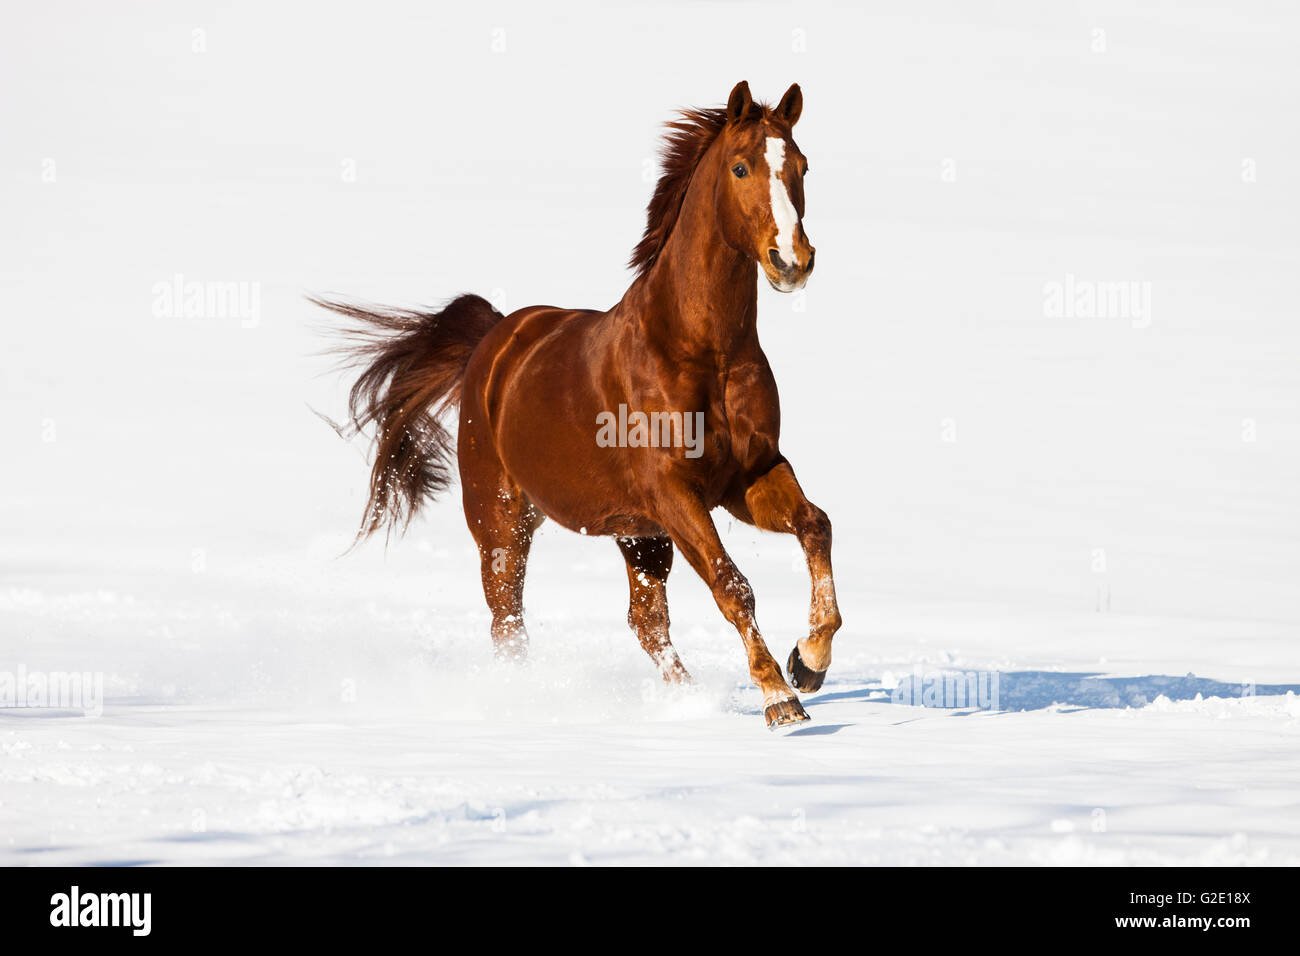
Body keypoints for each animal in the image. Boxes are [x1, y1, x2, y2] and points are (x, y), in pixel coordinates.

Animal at [312, 81, 842, 728]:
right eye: (741, 167)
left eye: (802, 166)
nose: (792, 260)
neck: (701, 350)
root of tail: (493, 343)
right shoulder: (675, 493)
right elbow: (732, 584)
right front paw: (779, 698)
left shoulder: (749, 475)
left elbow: (816, 526)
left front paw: (808, 662)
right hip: (501, 521)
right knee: (509, 623)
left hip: (638, 535)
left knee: (646, 622)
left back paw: (685, 700)